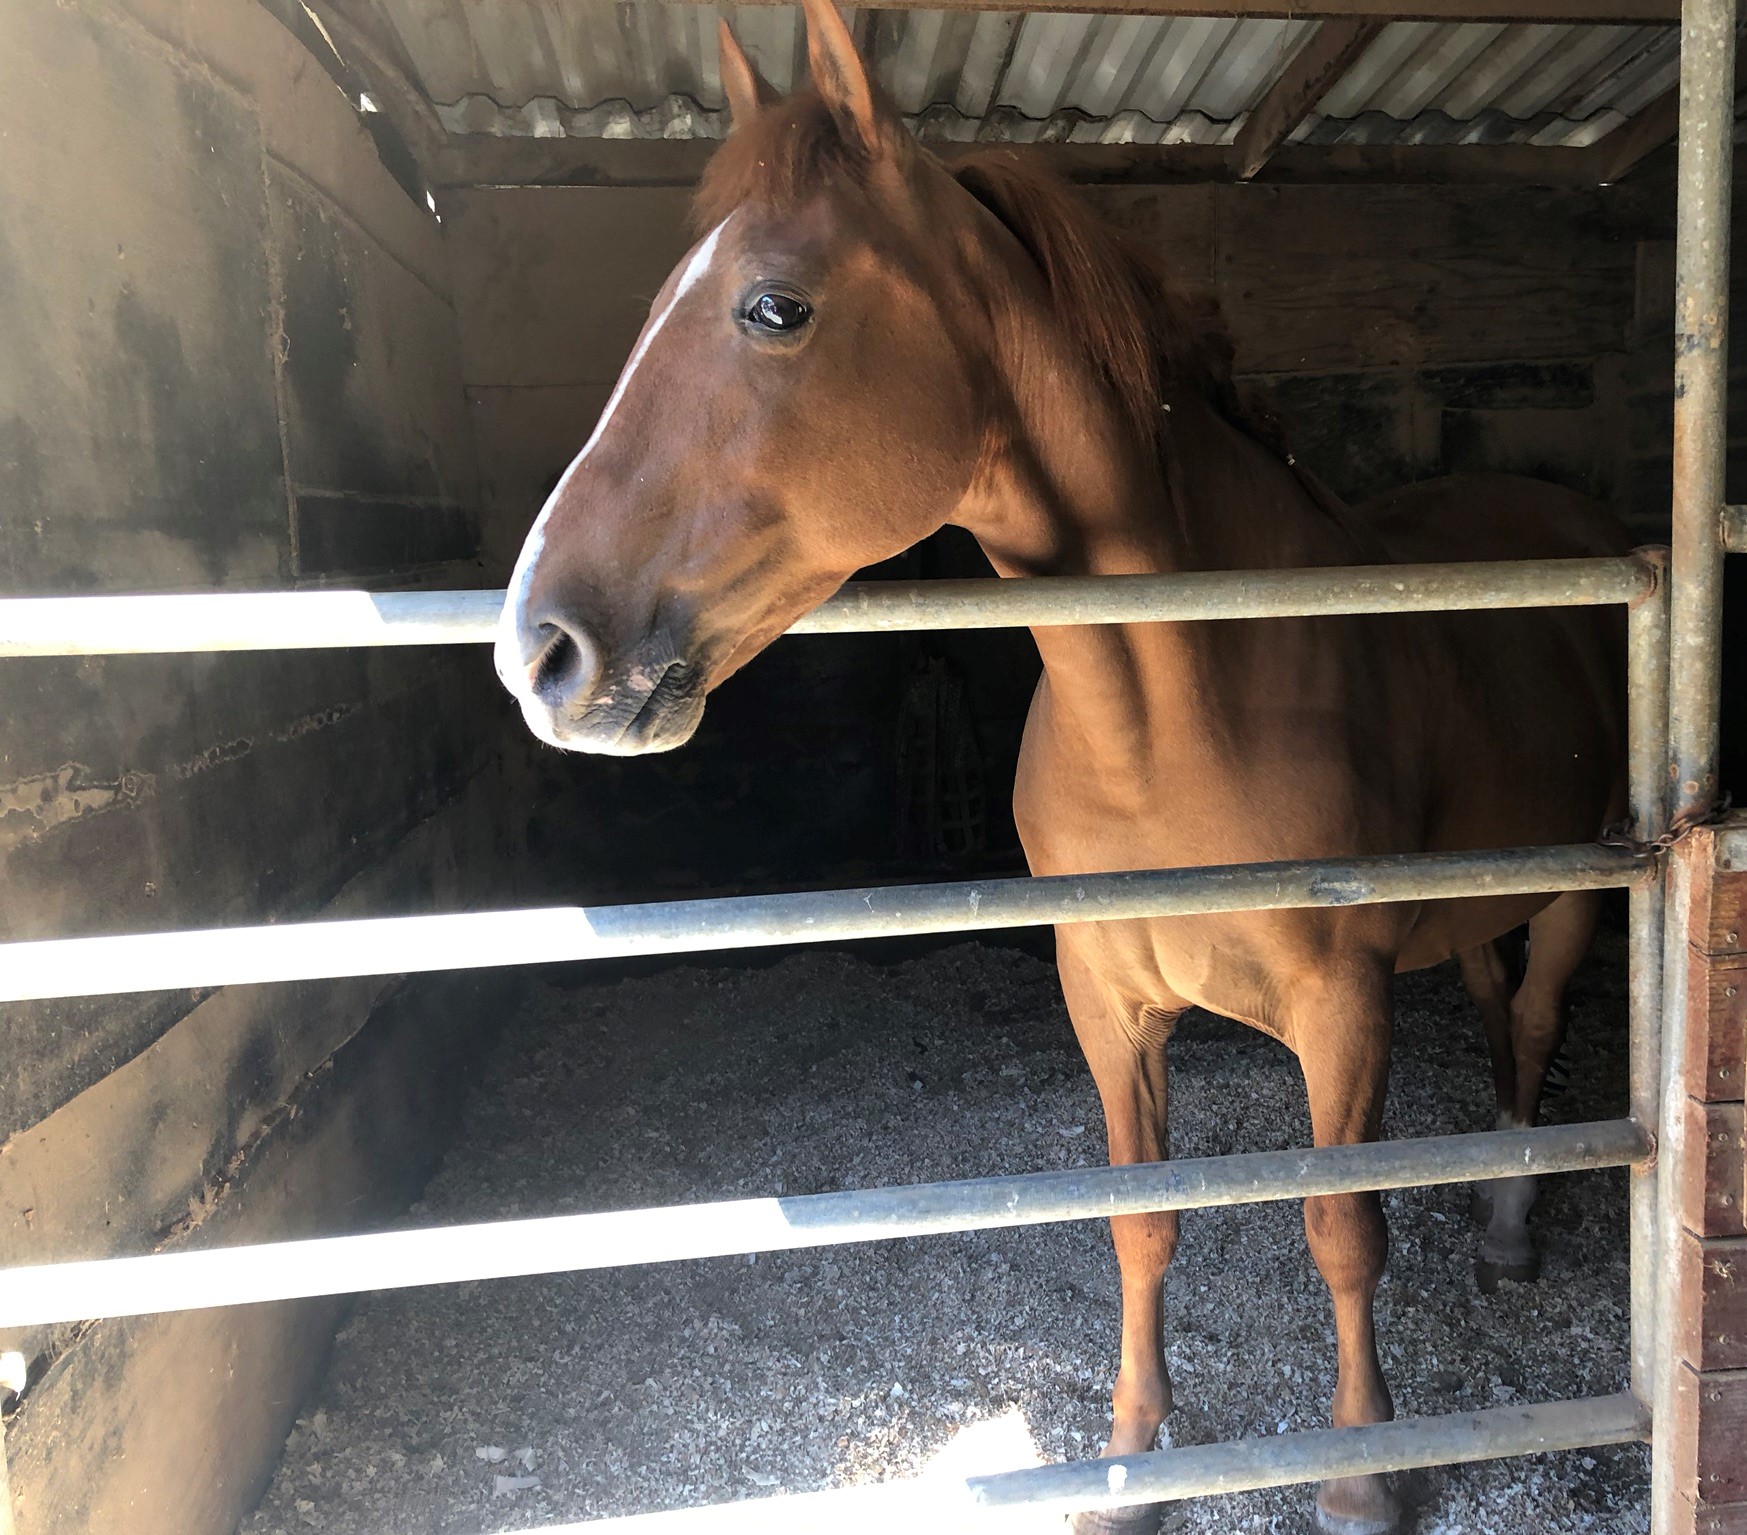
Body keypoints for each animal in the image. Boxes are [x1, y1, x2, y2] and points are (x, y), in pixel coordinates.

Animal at [492, 5, 1630, 1529]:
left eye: (774, 307)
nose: (539, 648)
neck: (1182, 709)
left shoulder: (1342, 1006)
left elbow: (1342, 1225)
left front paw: (1357, 1471)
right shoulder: (1105, 996)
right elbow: (1136, 1223)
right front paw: (1134, 1459)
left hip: (1578, 888)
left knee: (1538, 1018)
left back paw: (1507, 1221)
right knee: (1500, 1002)